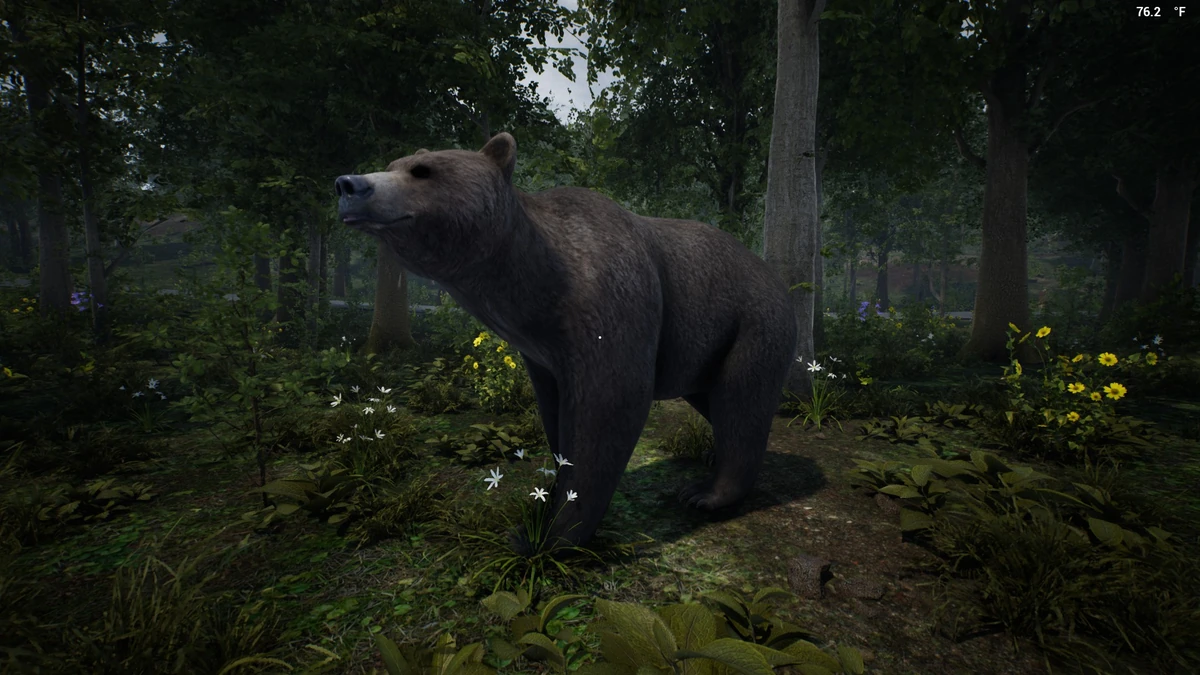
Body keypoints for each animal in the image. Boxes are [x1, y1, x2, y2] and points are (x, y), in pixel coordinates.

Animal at [335, 133, 798, 552]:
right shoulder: (543, 354)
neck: (533, 287)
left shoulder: (610, 305)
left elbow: (608, 409)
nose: (348, 184)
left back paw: (706, 492)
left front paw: (554, 535)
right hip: (703, 352)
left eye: (422, 170)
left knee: (741, 400)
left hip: (751, 322)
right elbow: (555, 417)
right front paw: (536, 513)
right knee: (712, 397)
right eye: (393, 163)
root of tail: (776, 277)